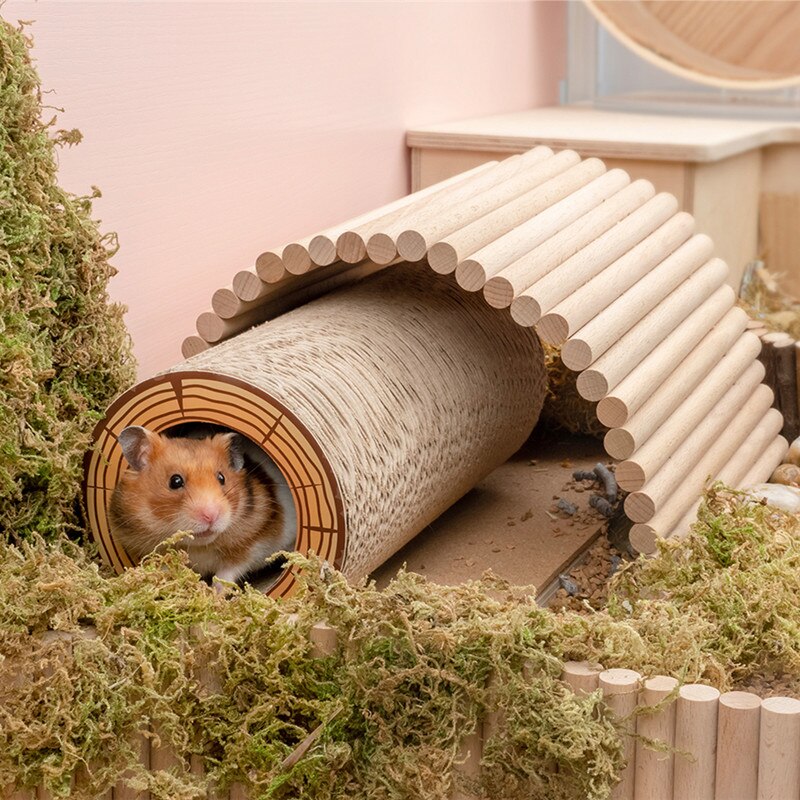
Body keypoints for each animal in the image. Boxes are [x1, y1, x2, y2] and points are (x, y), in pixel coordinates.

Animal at [108, 425, 296, 585]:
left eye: (221, 478)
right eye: (175, 481)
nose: (211, 516)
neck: (198, 546)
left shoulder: (253, 546)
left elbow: (226, 575)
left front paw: (214, 597)